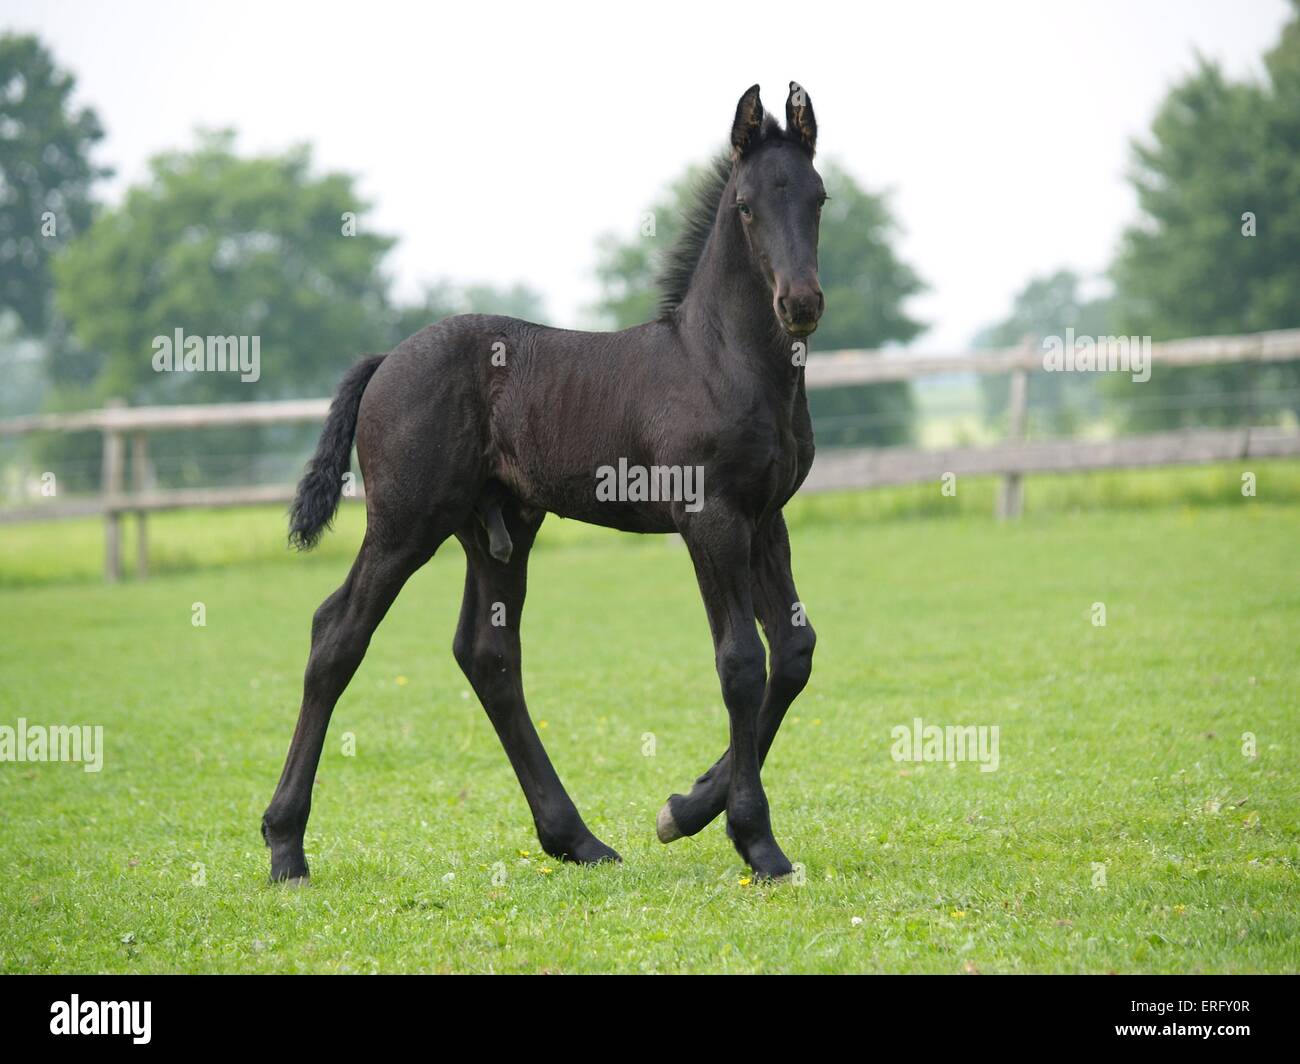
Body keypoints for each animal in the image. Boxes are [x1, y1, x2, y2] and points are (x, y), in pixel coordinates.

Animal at [262, 82, 826, 882]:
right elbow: (742, 662)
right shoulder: (710, 516)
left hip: (497, 529)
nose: (800, 304)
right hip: (406, 523)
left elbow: (794, 653)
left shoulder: (765, 516)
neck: (721, 359)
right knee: (337, 635)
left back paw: (576, 838)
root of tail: (385, 360)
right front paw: (755, 839)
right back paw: (285, 845)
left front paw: (684, 809)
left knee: (488, 656)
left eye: (818, 197)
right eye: (747, 205)